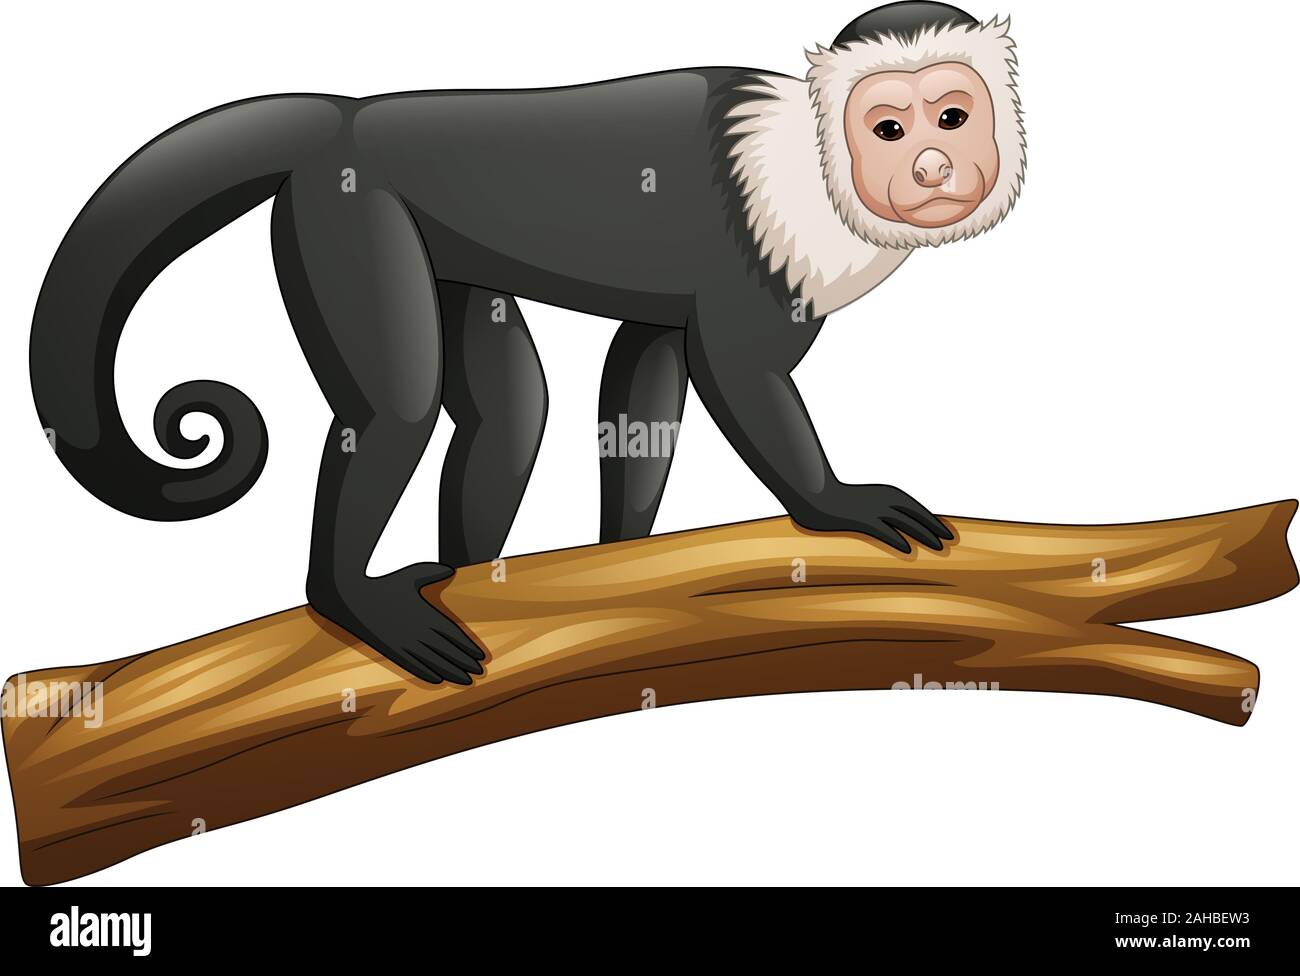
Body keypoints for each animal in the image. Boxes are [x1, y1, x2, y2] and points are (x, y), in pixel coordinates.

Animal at [29, 3, 1025, 686]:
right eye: (888, 128)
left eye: (951, 118)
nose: (932, 167)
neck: (819, 169)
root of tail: (345, 113)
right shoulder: (774, 246)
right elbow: (736, 369)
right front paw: (837, 501)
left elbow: (645, 382)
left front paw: (621, 557)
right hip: (345, 210)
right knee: (397, 410)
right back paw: (348, 596)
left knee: (511, 412)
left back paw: (469, 568)